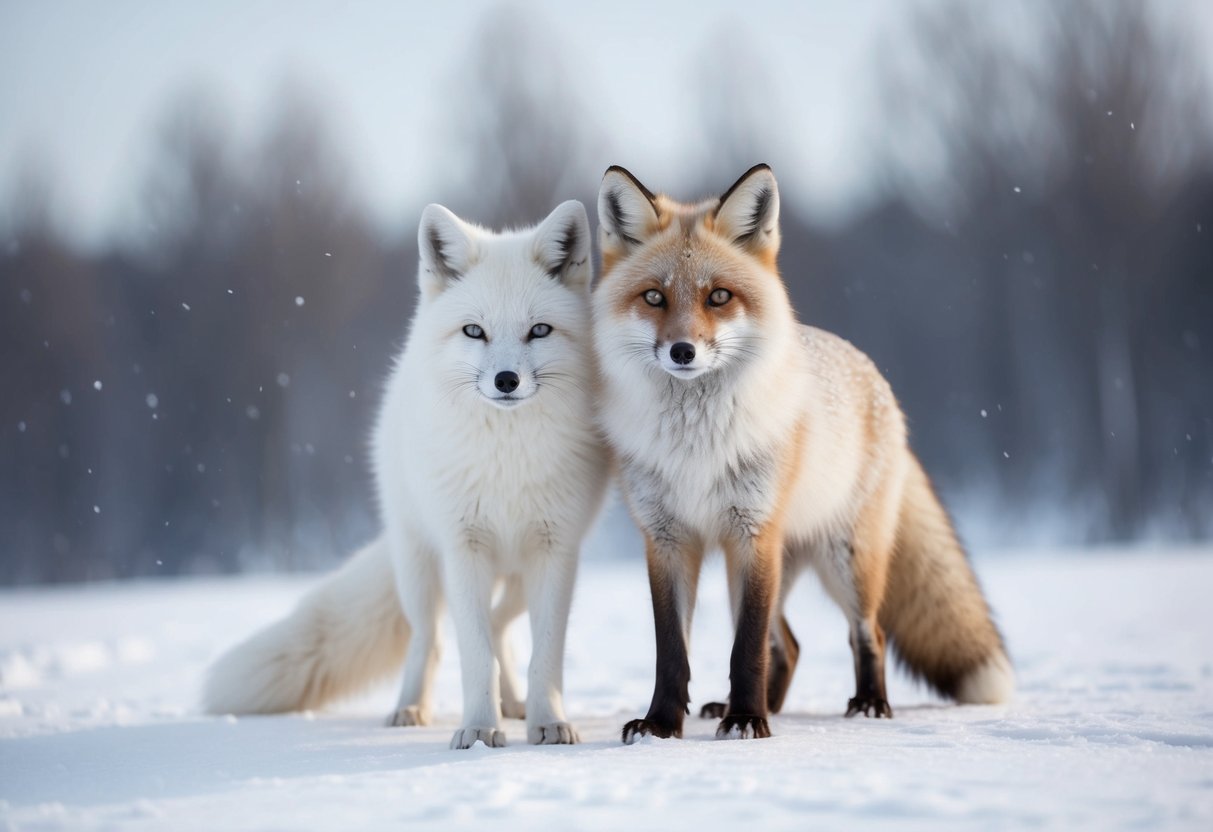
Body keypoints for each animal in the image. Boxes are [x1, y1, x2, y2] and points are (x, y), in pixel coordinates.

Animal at [203, 199, 608, 749]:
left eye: (539, 330)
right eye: (474, 331)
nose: (506, 380)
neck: (505, 461)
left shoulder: (556, 551)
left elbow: (543, 657)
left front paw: (547, 722)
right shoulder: (463, 547)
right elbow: (473, 655)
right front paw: (478, 731)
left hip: (518, 571)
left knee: (500, 625)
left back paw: (514, 705)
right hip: (420, 564)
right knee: (432, 638)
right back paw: (411, 708)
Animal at [593, 164, 1014, 743]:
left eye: (718, 297)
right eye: (654, 298)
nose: (683, 351)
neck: (695, 445)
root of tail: (874, 375)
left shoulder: (755, 533)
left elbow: (746, 648)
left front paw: (749, 721)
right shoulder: (667, 539)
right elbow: (672, 651)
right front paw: (661, 725)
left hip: (843, 558)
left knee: (866, 632)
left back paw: (867, 703)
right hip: (751, 565)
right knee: (788, 646)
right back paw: (738, 707)